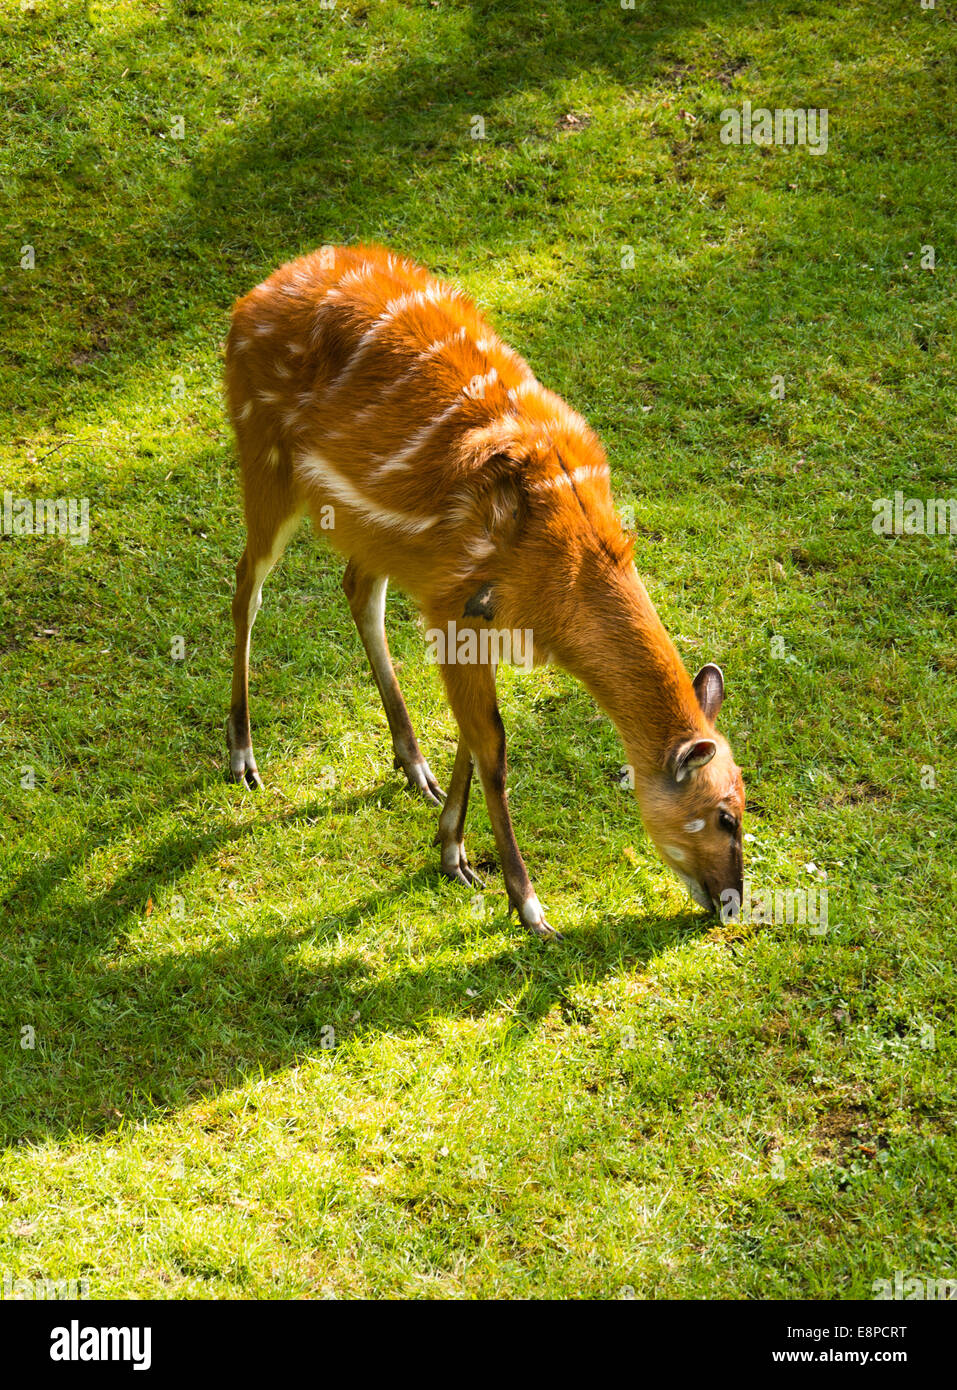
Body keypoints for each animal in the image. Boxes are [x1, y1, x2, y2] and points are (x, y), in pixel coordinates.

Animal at [225, 244, 745, 939]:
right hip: (265, 459)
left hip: (371, 532)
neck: (562, 571)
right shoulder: (456, 603)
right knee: (246, 587)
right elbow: (493, 744)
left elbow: (473, 737)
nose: (732, 902)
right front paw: (529, 907)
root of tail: (249, 299)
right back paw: (243, 755)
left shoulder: (477, 616)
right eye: (724, 815)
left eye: (744, 803)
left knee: (356, 588)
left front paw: (452, 851)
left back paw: (412, 766)